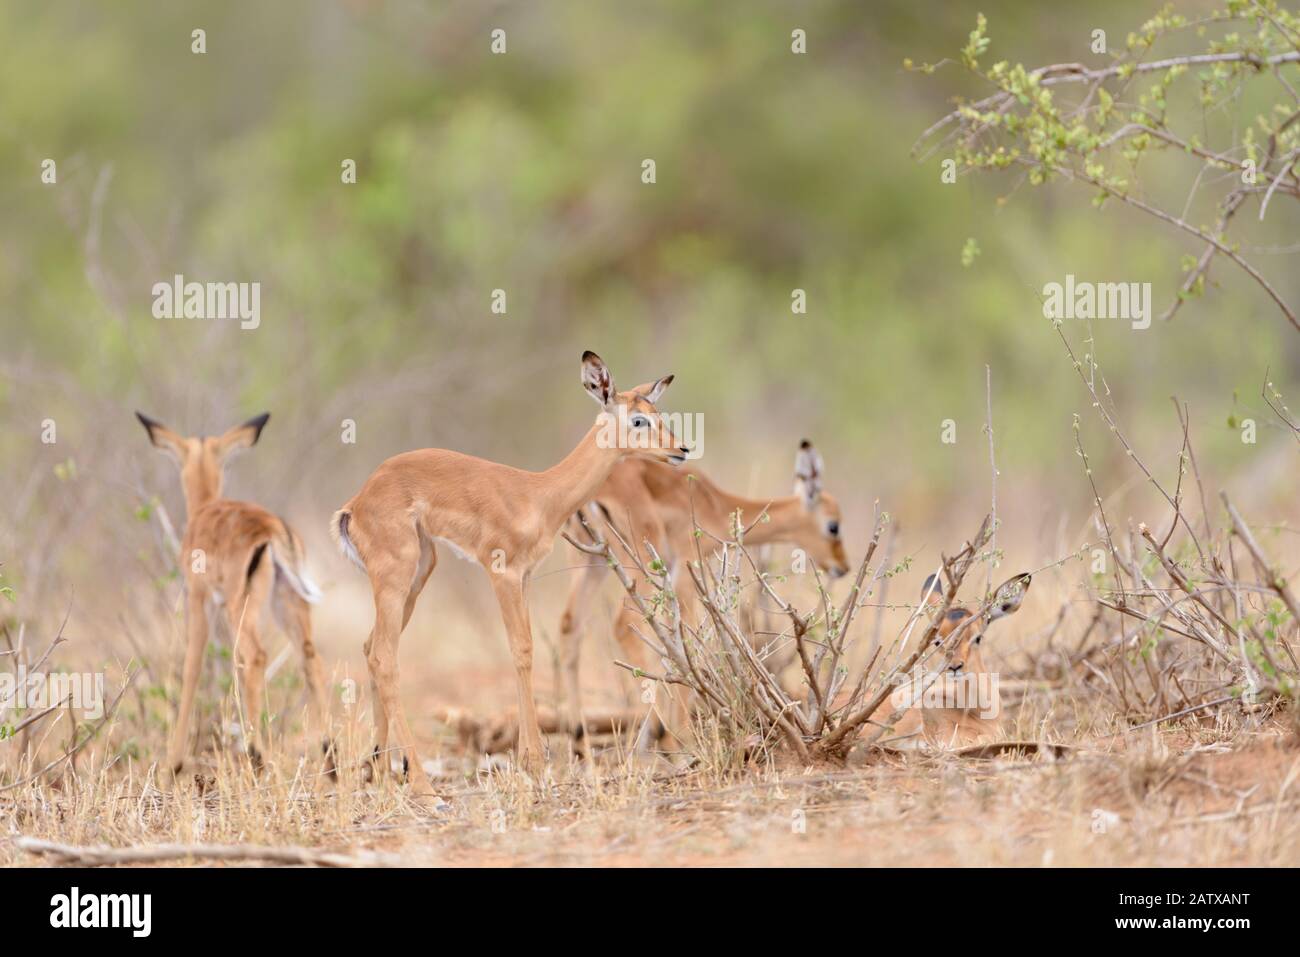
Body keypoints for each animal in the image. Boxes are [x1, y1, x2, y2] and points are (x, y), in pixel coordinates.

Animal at [135, 412, 329, 774]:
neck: (204, 510)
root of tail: (273, 529)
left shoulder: (199, 599)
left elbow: (192, 667)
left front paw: (174, 763)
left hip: (243, 605)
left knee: (256, 656)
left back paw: (257, 755)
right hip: (286, 603)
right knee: (310, 656)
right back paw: (329, 753)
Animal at [330, 351, 687, 791]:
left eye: (658, 413)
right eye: (638, 420)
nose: (682, 449)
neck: (539, 494)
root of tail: (355, 503)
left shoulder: (526, 577)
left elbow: (527, 647)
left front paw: (531, 761)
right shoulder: (502, 573)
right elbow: (522, 650)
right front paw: (532, 762)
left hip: (419, 572)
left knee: (370, 649)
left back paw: (379, 773)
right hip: (396, 577)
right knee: (384, 657)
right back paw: (424, 787)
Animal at [558, 440, 850, 744]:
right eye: (833, 526)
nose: (844, 566)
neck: (714, 504)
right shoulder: (684, 572)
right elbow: (683, 643)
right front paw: (682, 736)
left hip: (593, 562)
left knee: (569, 624)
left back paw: (578, 734)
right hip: (634, 564)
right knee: (624, 625)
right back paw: (653, 728)